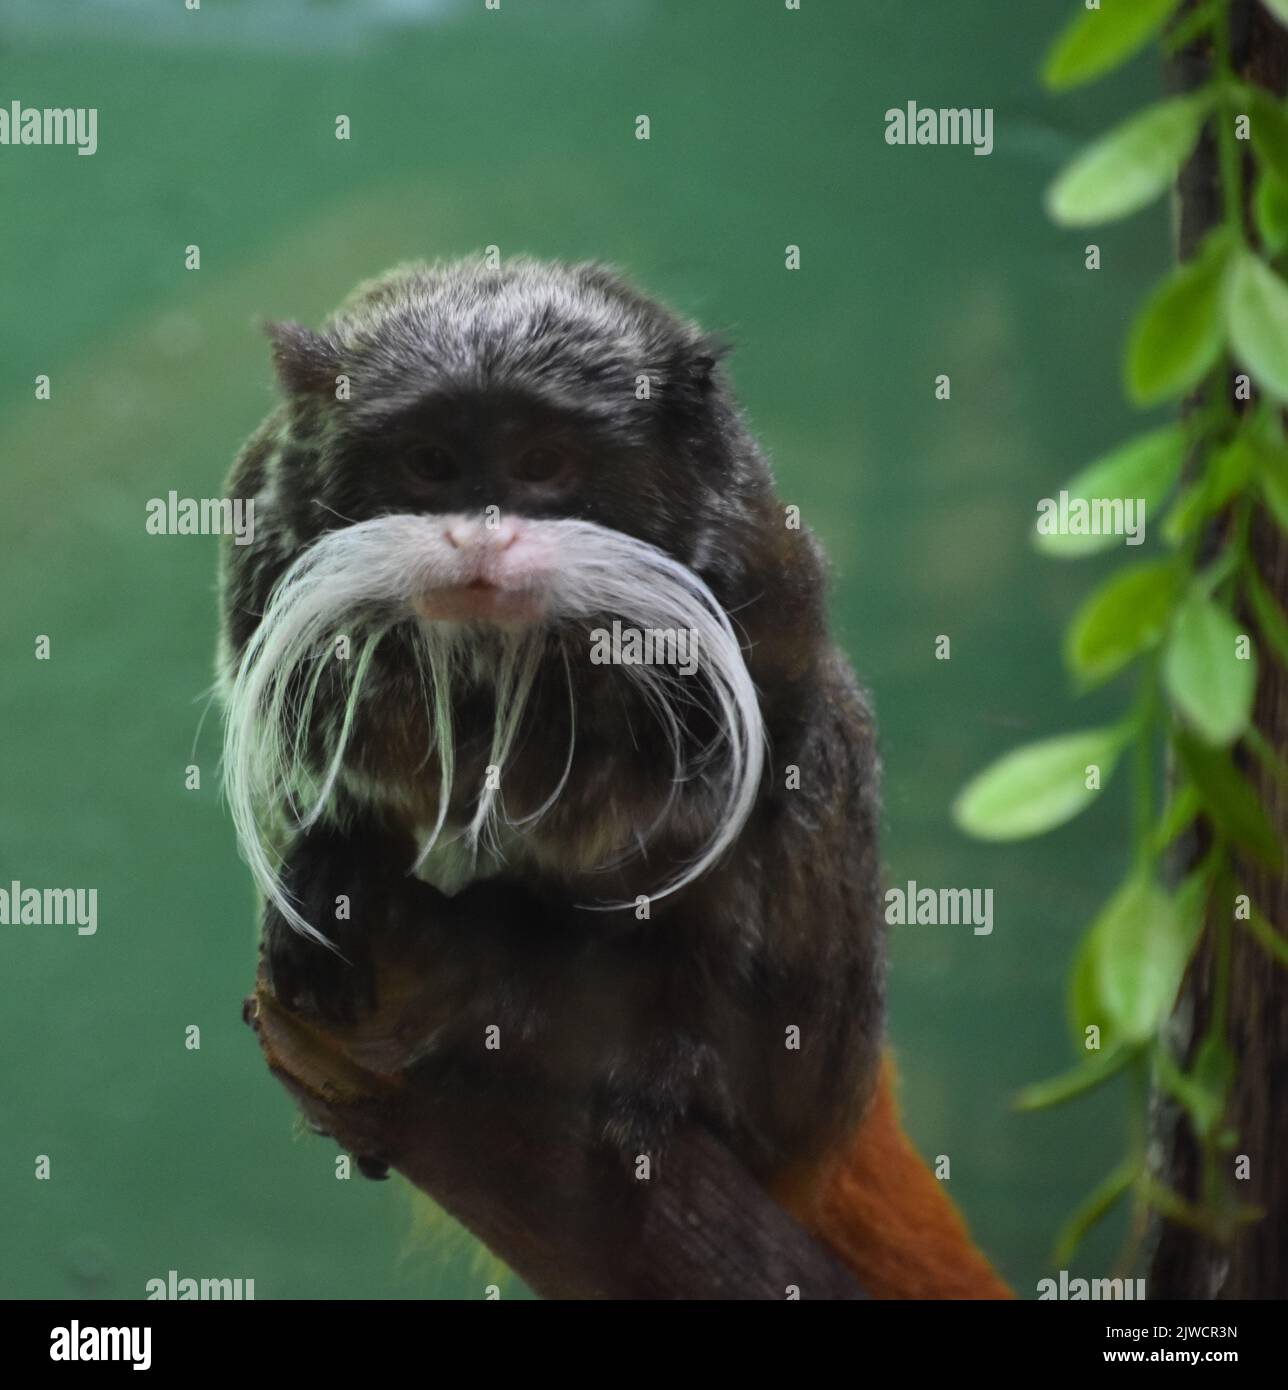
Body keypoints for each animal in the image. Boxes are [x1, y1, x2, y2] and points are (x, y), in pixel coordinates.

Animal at [218, 257, 1009, 1299]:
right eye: (430, 462)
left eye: (543, 464)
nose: (482, 538)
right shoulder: (264, 562)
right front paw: (333, 870)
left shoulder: (759, 570)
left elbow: (750, 781)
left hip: (817, 1070)